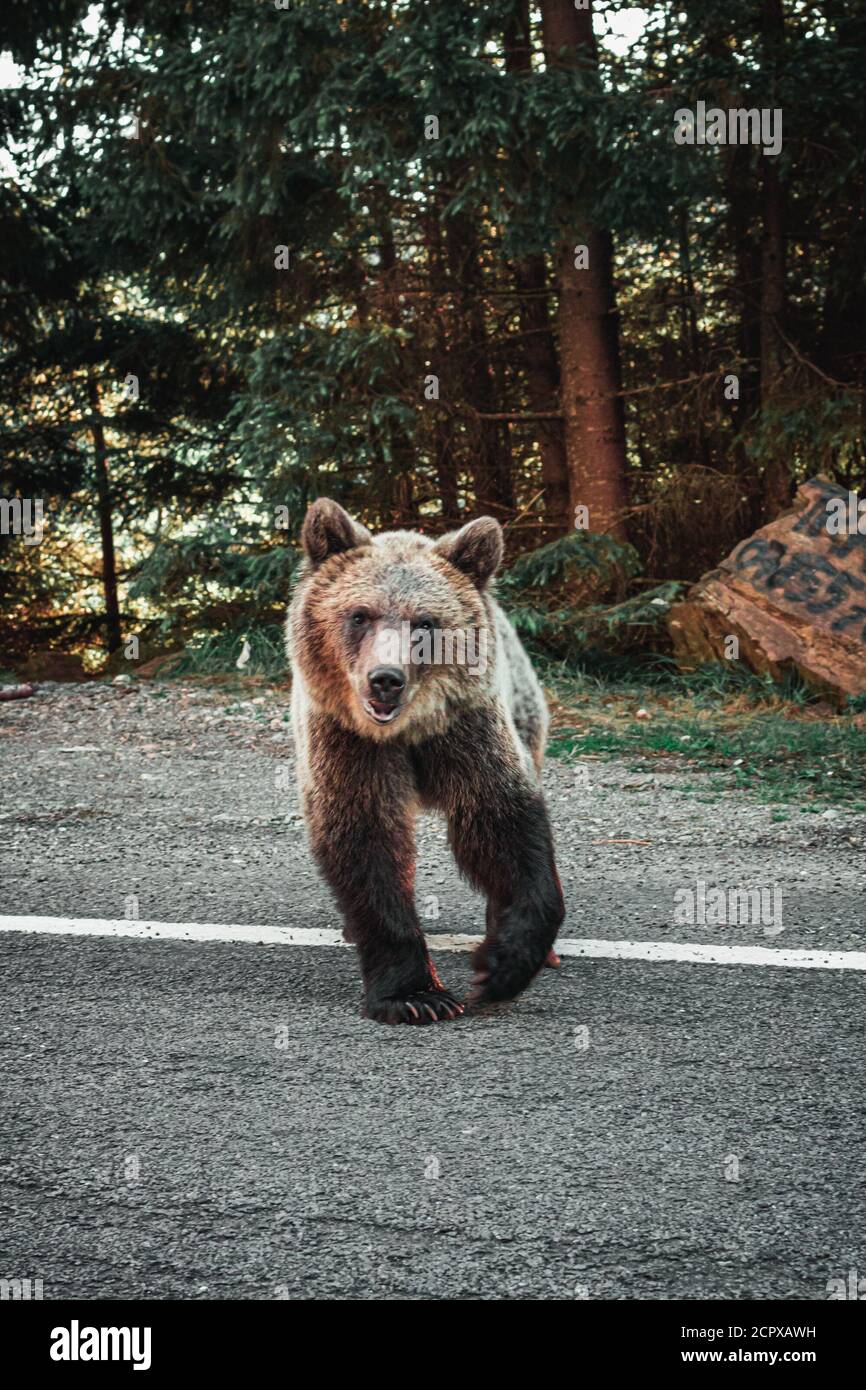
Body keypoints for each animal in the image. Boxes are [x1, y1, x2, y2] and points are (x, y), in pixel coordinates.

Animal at [286, 497, 565, 1024]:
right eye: (360, 615)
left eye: (425, 621)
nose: (385, 679)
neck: (407, 732)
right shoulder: (347, 743)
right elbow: (366, 842)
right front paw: (416, 995)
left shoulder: (468, 731)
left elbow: (505, 824)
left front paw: (503, 965)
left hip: (526, 708)